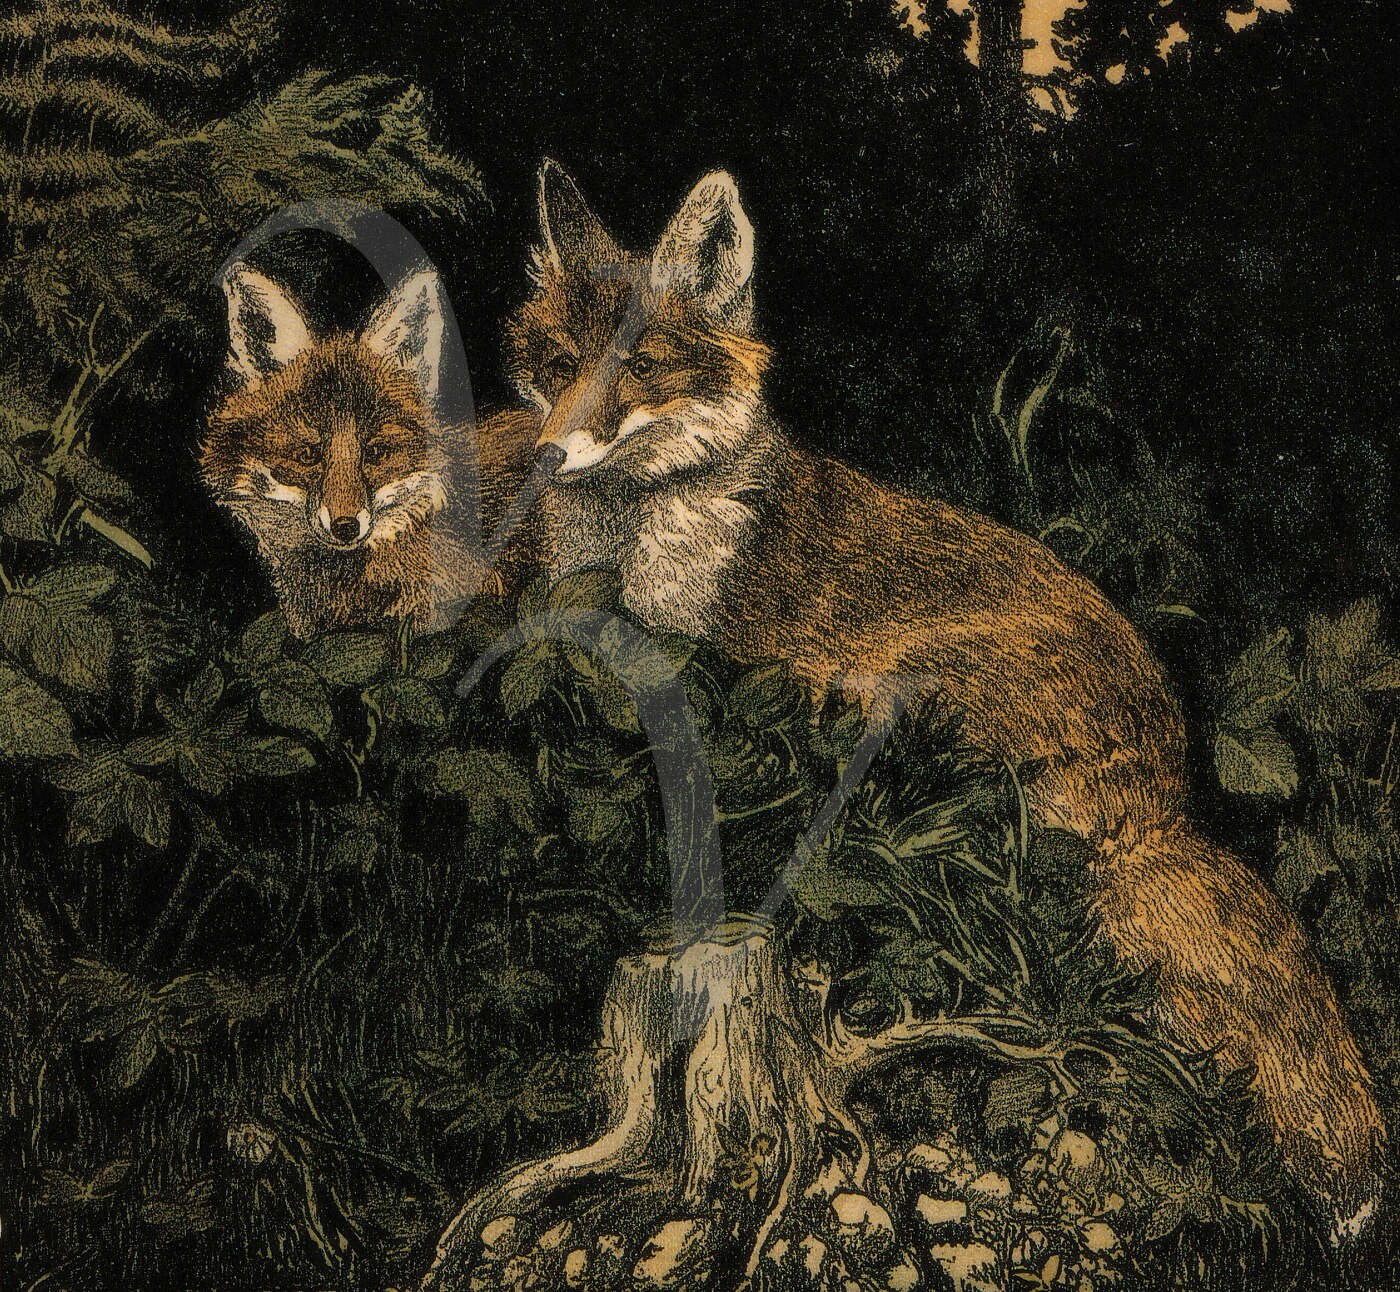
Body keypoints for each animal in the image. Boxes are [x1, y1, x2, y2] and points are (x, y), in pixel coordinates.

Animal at [500, 160, 1386, 1240]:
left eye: (643, 367)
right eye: (556, 361)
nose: (547, 453)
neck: (637, 546)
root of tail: (1162, 795)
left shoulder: (720, 681)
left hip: (902, 702)